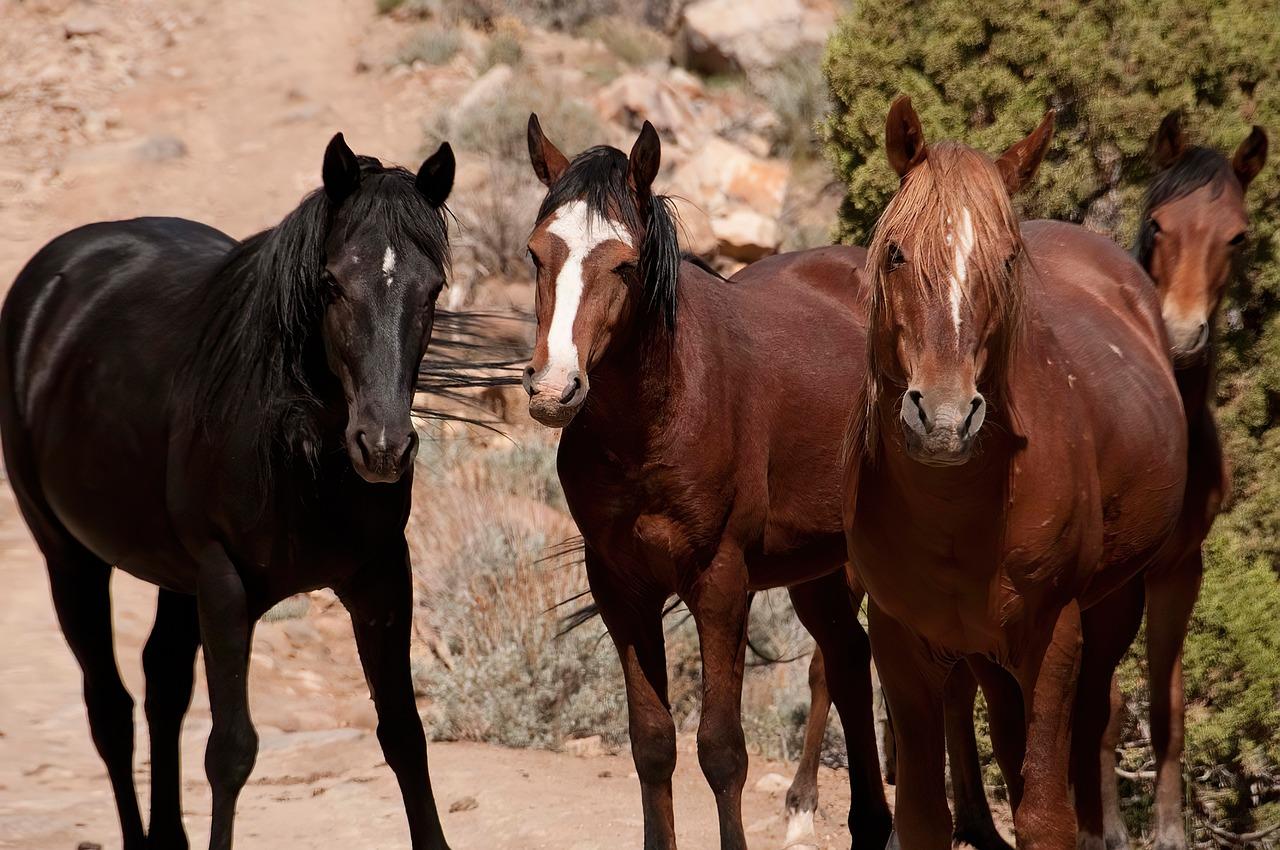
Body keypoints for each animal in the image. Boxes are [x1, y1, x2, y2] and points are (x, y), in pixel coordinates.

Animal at [0, 133, 457, 850]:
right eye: (331, 282)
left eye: (433, 288)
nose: (383, 447)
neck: (299, 454)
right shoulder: (224, 582)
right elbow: (231, 751)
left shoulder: (382, 575)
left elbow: (405, 736)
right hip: (69, 558)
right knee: (110, 709)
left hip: (172, 576)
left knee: (161, 685)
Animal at [520, 113, 891, 850]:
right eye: (536, 255)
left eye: (624, 264)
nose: (554, 389)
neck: (656, 421)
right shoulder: (621, 589)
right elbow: (651, 743)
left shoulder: (721, 585)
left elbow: (721, 750)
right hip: (816, 571)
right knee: (846, 659)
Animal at [843, 96, 1187, 850]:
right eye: (895, 252)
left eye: (1004, 259)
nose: (943, 419)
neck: (953, 511)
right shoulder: (899, 640)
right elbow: (923, 814)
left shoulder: (1053, 634)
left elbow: (1045, 815)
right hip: (985, 656)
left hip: (1119, 604)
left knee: (1097, 725)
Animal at [1069, 112, 1268, 850]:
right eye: (1157, 225)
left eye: (1237, 236)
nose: (1182, 333)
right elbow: (1104, 704)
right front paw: (1103, 829)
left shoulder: (1180, 568)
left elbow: (1167, 708)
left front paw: (1169, 831)